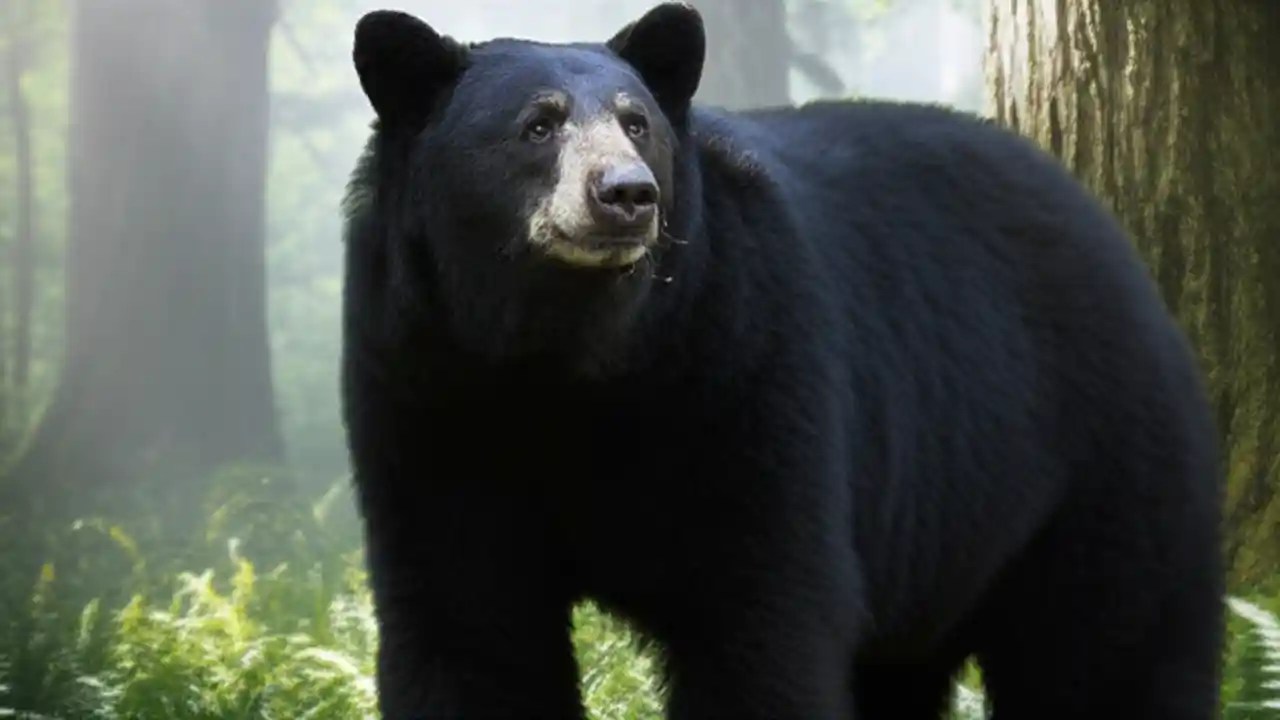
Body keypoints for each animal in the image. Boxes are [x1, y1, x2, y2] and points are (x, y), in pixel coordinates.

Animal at [339, 3, 1226, 719]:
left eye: (637, 123)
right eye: (538, 123)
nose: (627, 195)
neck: (567, 357)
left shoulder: (742, 364)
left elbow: (761, 611)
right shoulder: (423, 387)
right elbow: (468, 623)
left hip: (1090, 458)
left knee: (1114, 645)